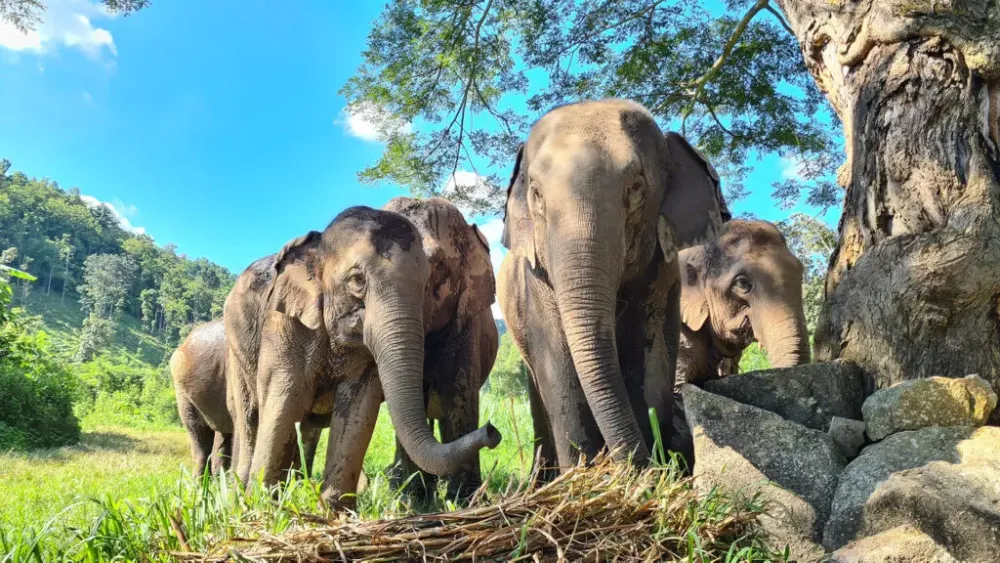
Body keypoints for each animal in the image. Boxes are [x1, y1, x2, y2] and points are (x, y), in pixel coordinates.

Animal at [224, 198, 500, 506]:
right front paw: (262, 505)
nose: (492, 430)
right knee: (250, 417)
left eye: (435, 273)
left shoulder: (465, 322)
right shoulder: (286, 323)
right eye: (357, 280)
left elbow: (452, 392)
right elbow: (285, 395)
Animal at [497, 98, 728, 473]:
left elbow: (647, 358)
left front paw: (650, 471)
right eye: (536, 194)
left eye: (635, 189)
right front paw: (583, 473)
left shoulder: (659, 273)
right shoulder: (536, 282)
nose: (637, 465)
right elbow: (559, 369)